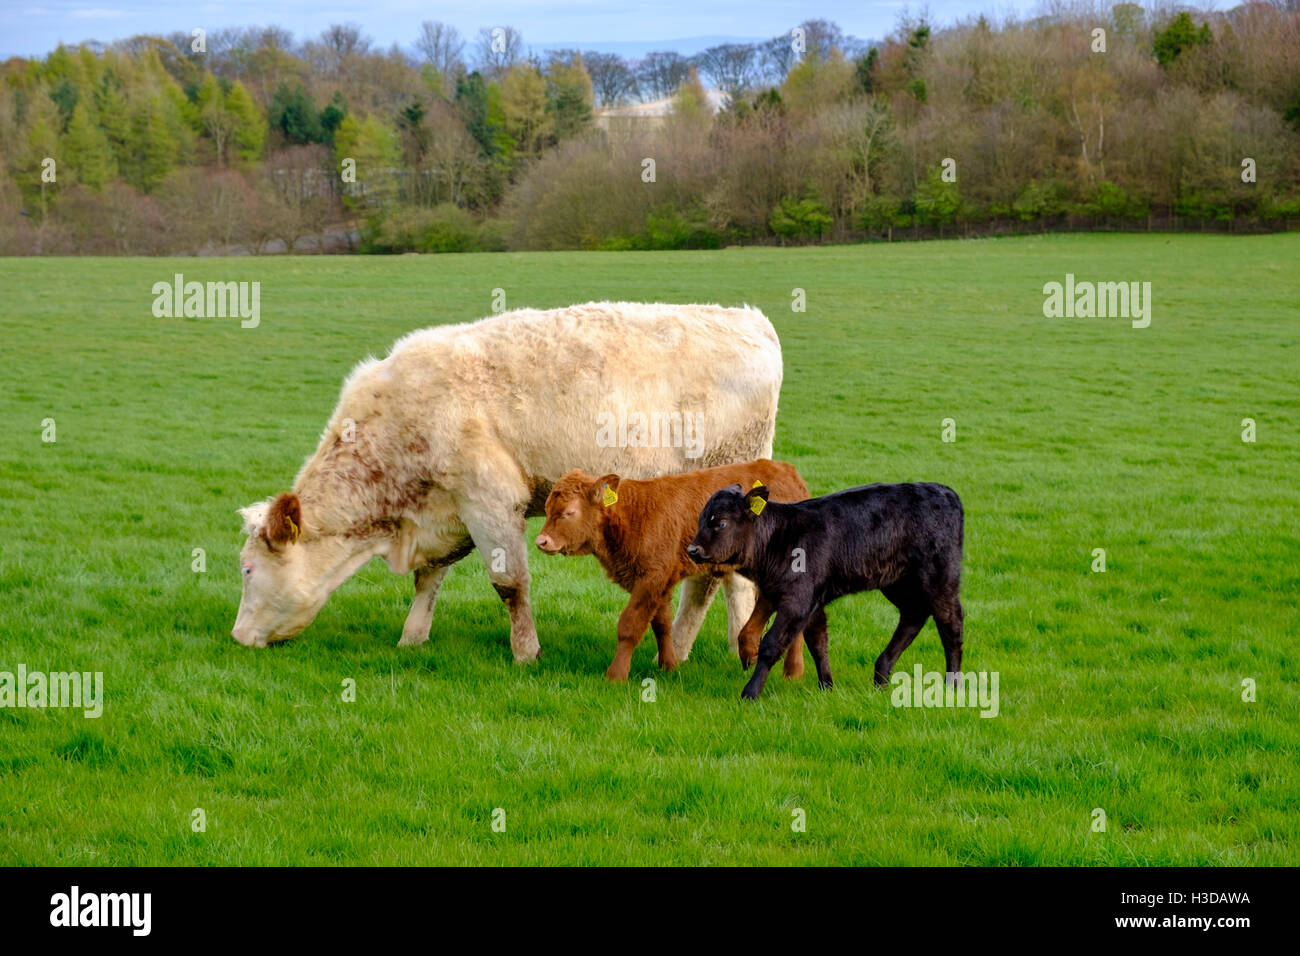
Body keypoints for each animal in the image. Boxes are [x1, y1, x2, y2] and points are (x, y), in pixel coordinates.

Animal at [232, 301, 784, 664]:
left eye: (247, 570)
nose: (237, 636)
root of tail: (746, 317)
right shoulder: (447, 511)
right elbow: (429, 578)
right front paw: (412, 638)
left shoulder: (490, 501)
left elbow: (510, 585)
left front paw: (526, 654)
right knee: (725, 582)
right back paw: (716, 648)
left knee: (717, 582)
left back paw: (697, 653)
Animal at [534, 461, 810, 681]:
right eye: (547, 509)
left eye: (568, 512)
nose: (541, 541)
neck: (633, 515)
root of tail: (786, 469)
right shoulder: (659, 581)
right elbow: (662, 624)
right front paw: (668, 666)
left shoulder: (651, 579)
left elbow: (629, 626)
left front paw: (616, 675)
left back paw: (792, 671)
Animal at [687, 481, 965, 699]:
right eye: (700, 520)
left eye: (721, 523)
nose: (692, 550)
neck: (779, 539)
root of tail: (945, 491)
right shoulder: (790, 595)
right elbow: (812, 641)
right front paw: (826, 687)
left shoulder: (798, 600)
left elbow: (771, 644)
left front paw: (750, 693)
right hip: (897, 582)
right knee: (914, 614)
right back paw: (881, 676)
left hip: (939, 578)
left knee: (950, 622)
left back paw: (952, 683)